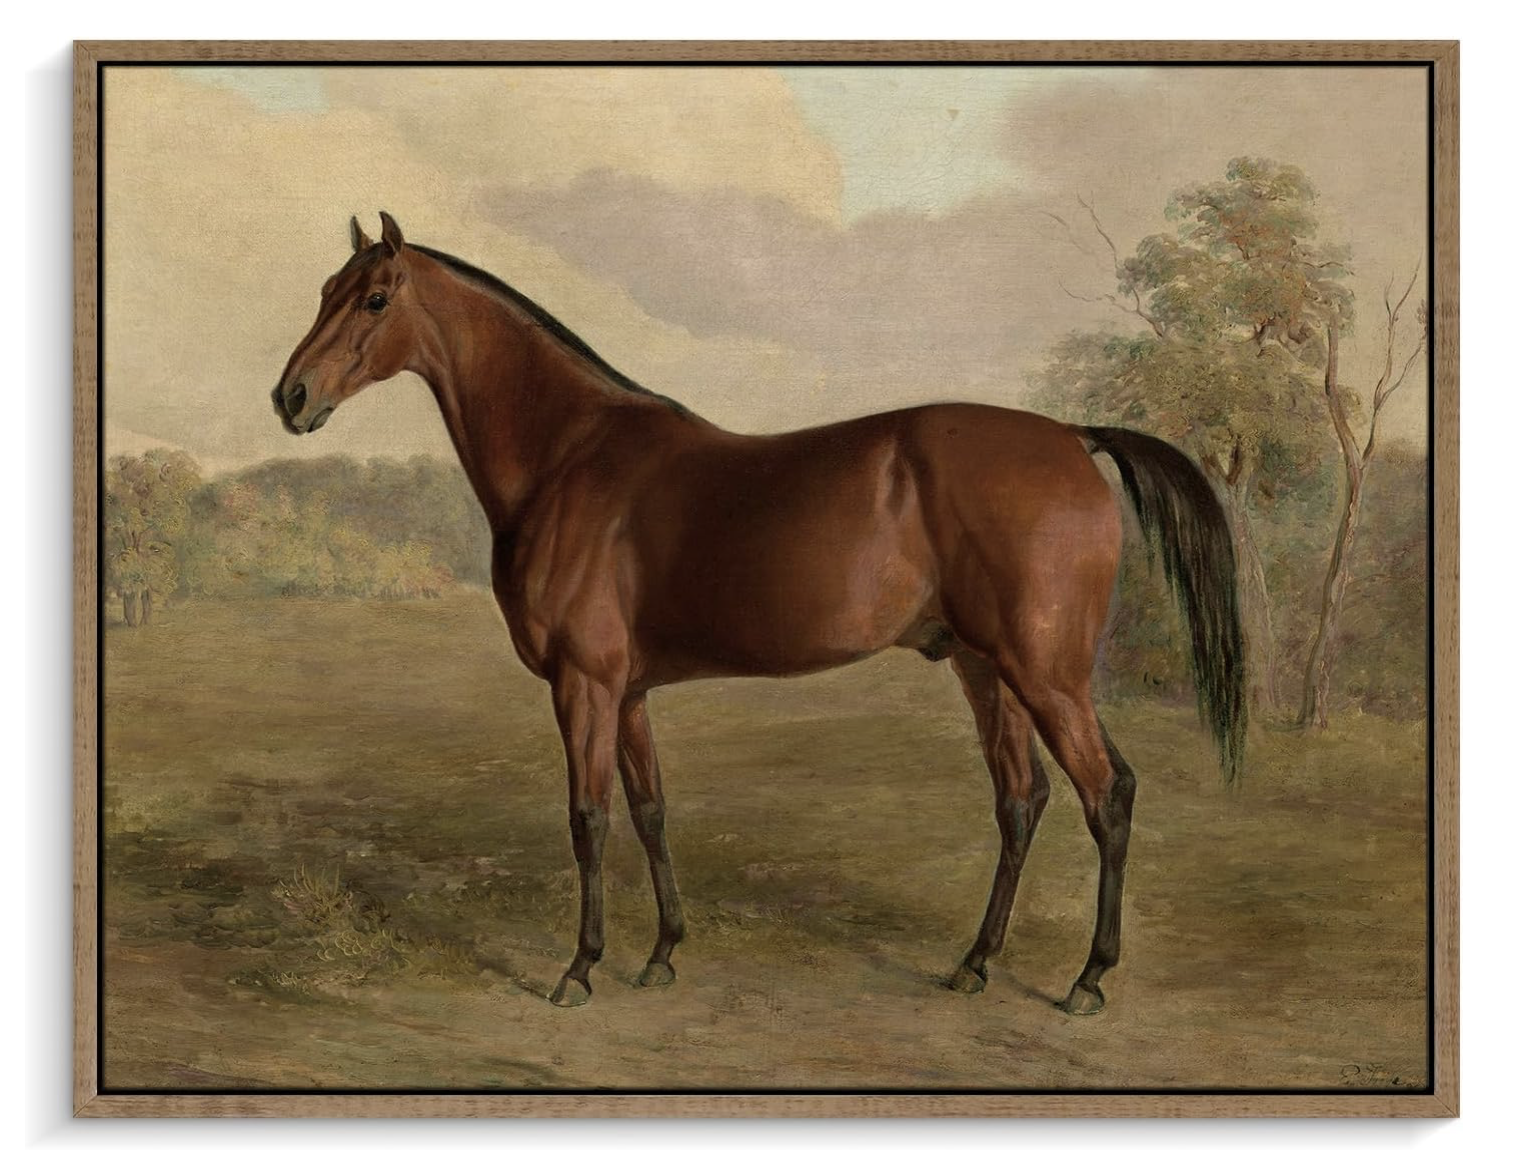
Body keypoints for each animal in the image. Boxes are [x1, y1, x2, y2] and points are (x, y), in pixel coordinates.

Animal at [273, 212, 1246, 1014]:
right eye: (322, 291)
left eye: (374, 298)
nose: (291, 398)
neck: (570, 457)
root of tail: (1073, 437)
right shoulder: (628, 693)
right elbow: (650, 809)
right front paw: (661, 954)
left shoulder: (584, 685)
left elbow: (588, 818)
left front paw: (580, 968)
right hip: (988, 669)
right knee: (1022, 798)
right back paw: (973, 964)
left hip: (1047, 673)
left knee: (1106, 793)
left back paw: (1089, 979)